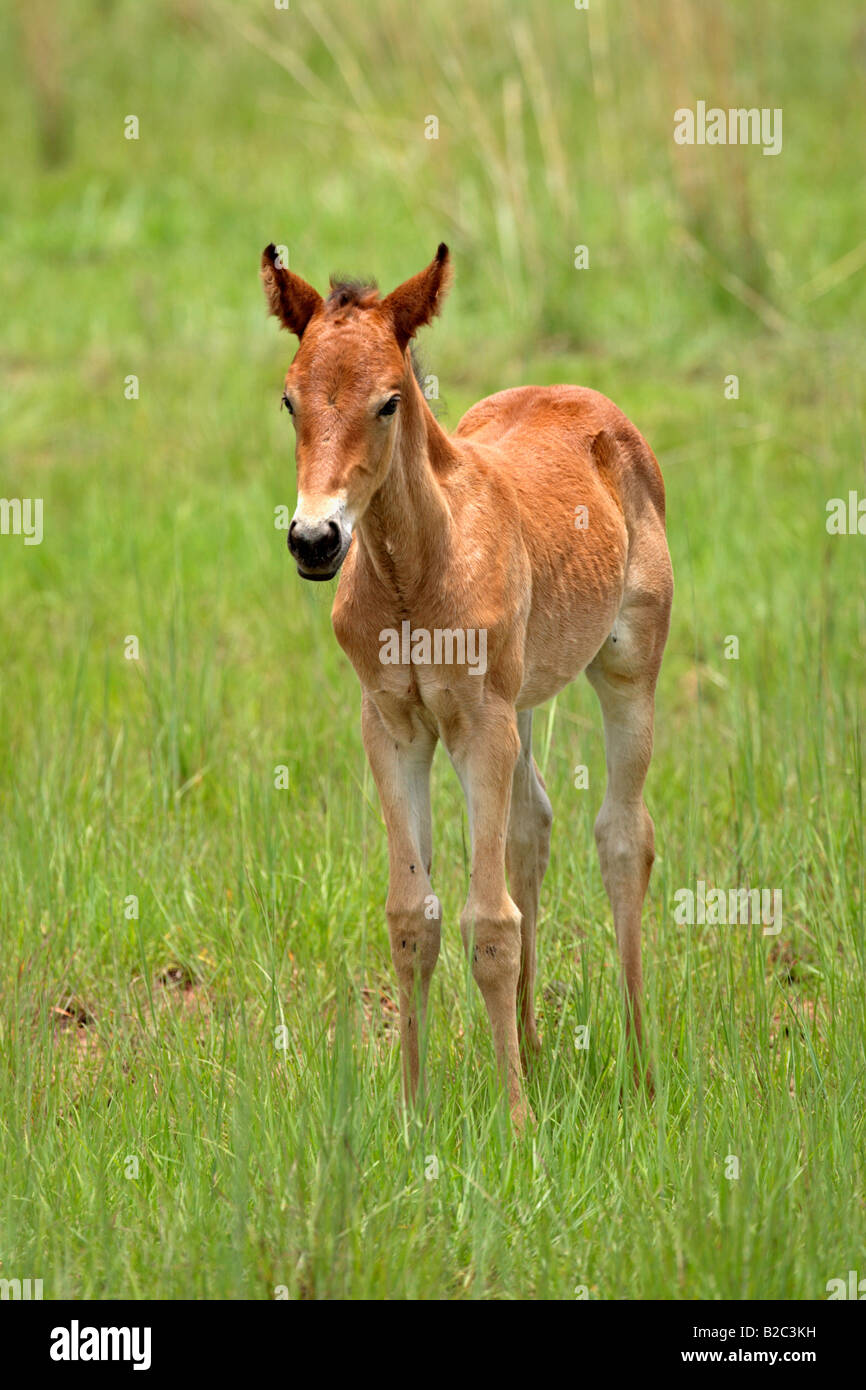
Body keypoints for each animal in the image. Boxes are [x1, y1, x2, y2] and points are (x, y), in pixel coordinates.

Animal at [261, 242, 673, 1128]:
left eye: (389, 401)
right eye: (289, 398)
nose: (315, 540)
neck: (414, 573)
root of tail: (593, 402)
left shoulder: (479, 723)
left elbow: (490, 921)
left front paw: (516, 1123)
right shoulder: (394, 726)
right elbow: (411, 917)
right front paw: (413, 1109)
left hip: (627, 667)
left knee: (624, 835)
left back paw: (641, 1069)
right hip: (521, 703)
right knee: (532, 828)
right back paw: (537, 1049)